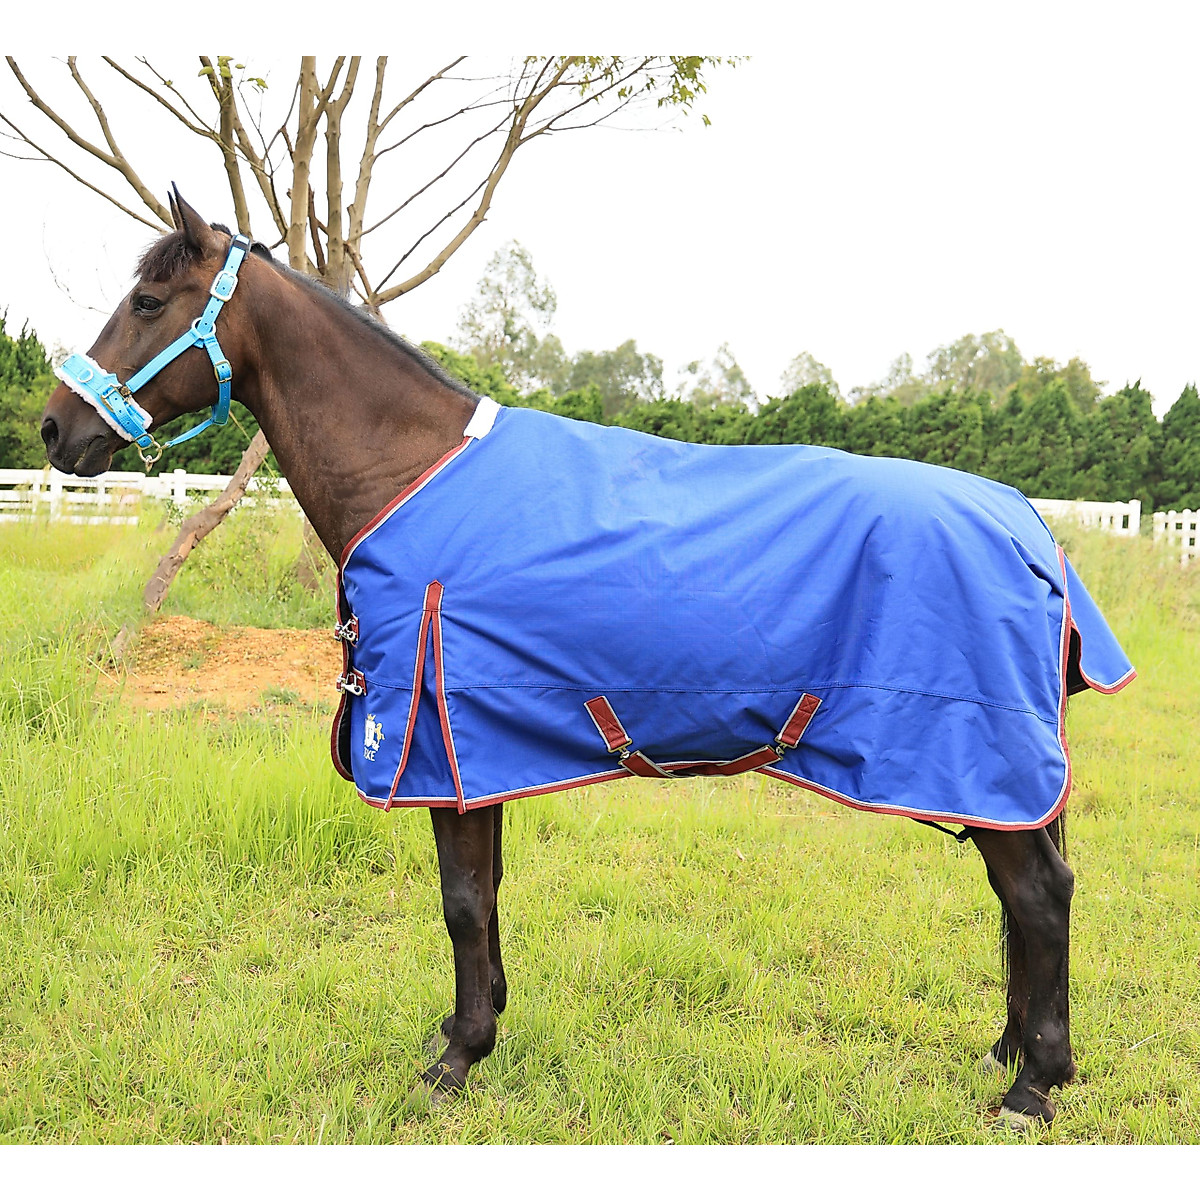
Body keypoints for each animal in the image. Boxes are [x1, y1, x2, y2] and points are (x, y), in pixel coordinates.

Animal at [41, 189, 1132, 1128]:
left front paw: (456, 1060)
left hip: (976, 754)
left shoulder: (438, 748)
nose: (57, 428)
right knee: (1023, 895)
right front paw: (475, 1024)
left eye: (148, 302)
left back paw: (1033, 1086)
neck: (410, 471)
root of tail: (1031, 528)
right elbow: (486, 899)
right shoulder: (480, 753)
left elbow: (461, 903)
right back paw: (1006, 1052)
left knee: (1039, 896)